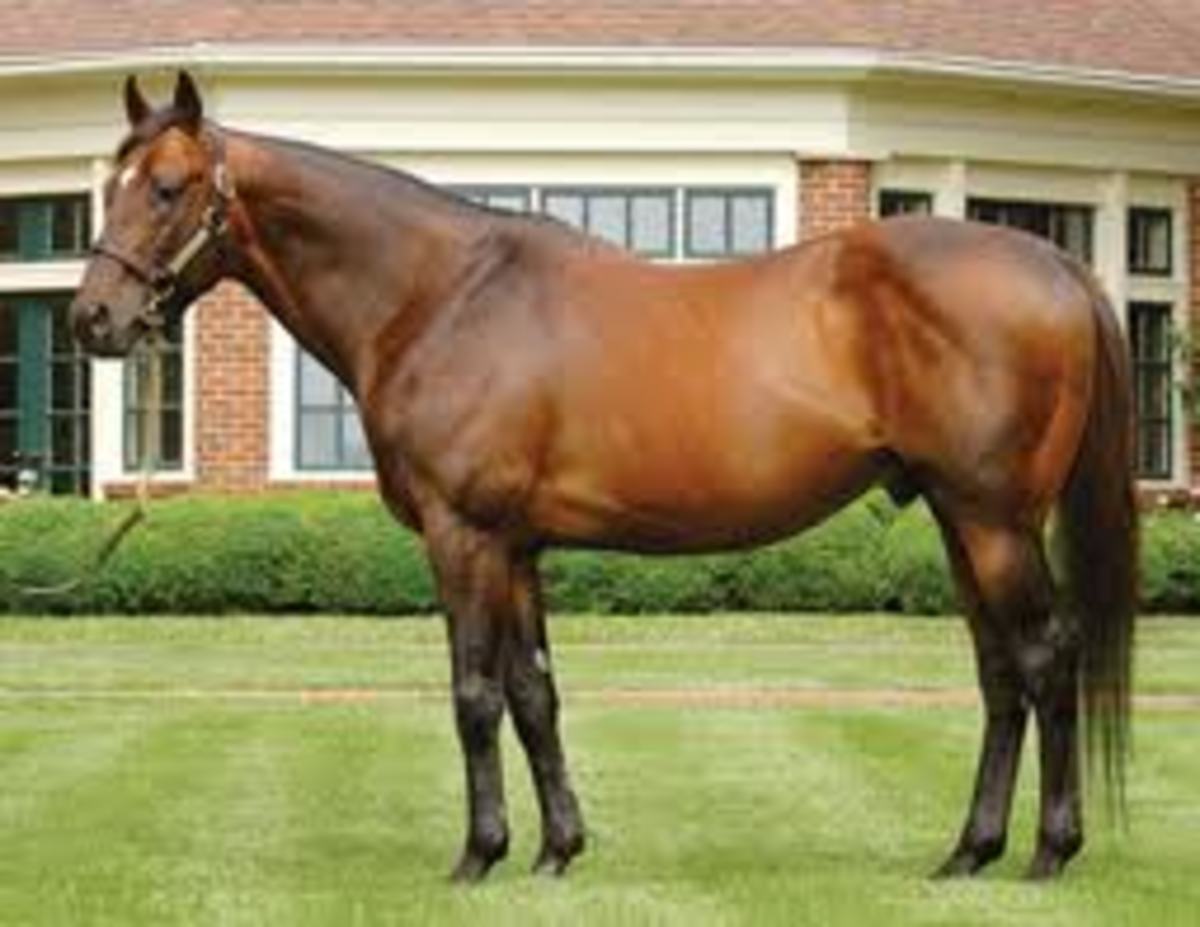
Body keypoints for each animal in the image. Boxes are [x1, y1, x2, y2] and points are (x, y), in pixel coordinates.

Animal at [71, 72, 1137, 883]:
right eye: (111, 184)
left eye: (168, 186)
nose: (93, 319)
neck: (440, 296)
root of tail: (1057, 265)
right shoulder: (517, 547)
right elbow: (534, 693)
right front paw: (556, 851)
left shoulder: (464, 536)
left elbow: (473, 692)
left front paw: (478, 856)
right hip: (962, 520)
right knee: (1000, 671)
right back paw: (969, 852)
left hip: (994, 520)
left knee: (1046, 657)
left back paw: (1048, 852)